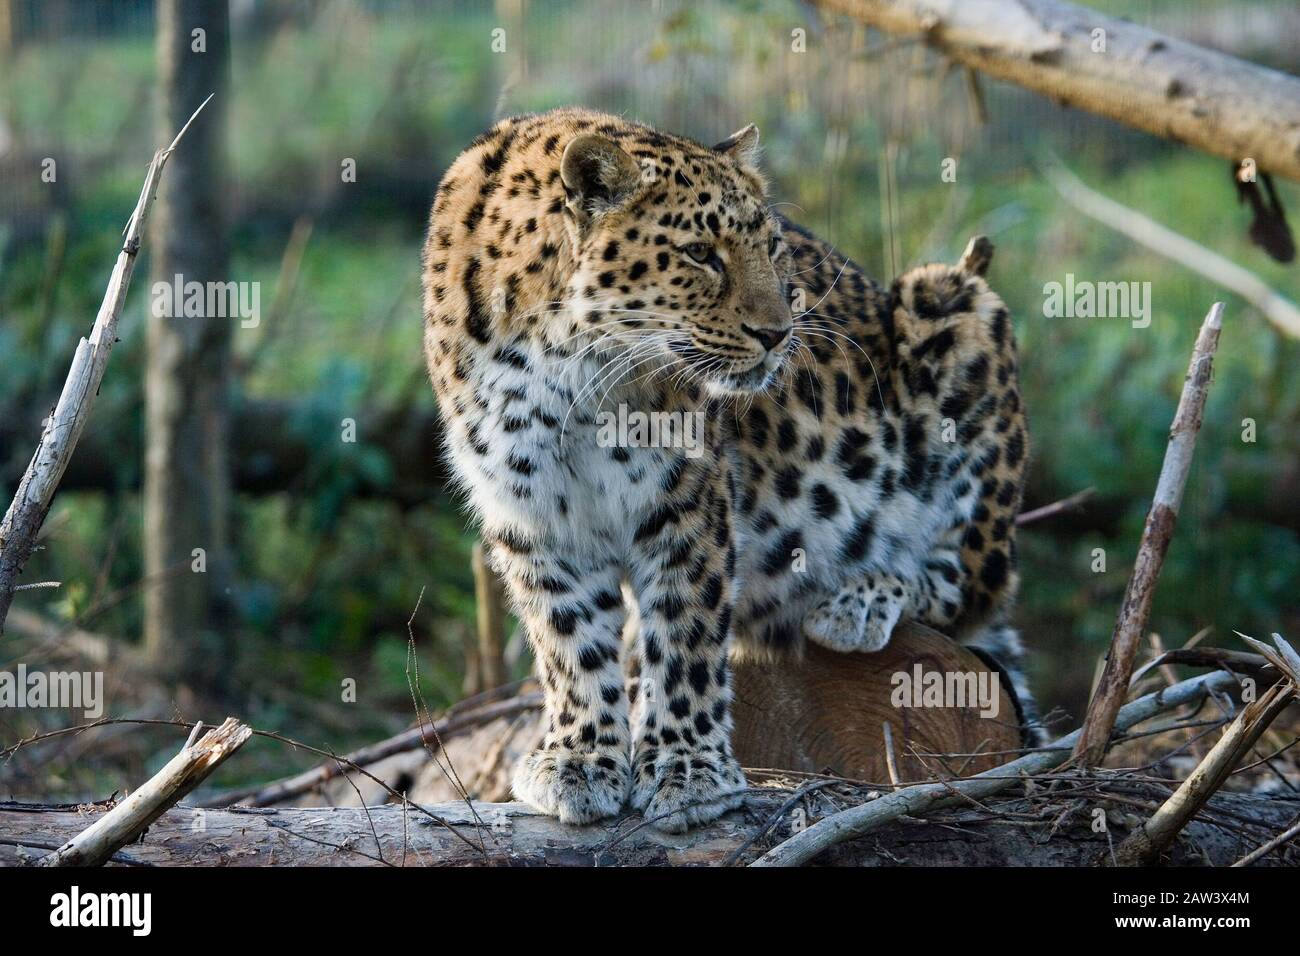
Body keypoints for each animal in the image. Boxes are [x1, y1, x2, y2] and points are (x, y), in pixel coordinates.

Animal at [422, 107, 1033, 833]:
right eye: (699, 254)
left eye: (773, 248)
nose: (779, 333)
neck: (565, 367)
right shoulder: (535, 514)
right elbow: (570, 644)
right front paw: (581, 762)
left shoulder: (687, 498)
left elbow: (686, 637)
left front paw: (690, 774)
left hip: (953, 307)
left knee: (970, 583)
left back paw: (857, 596)